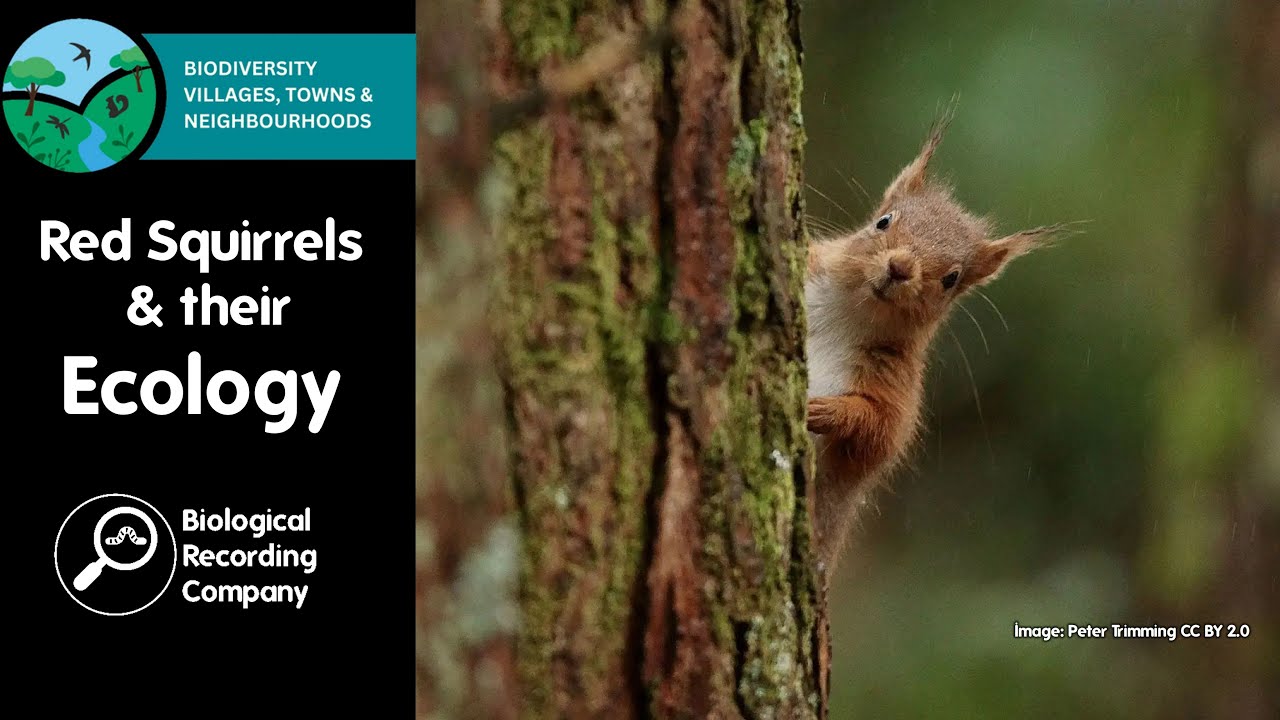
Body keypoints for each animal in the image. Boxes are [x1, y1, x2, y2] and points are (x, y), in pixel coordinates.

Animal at [805, 113, 1061, 569]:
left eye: (951, 279)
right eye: (883, 221)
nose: (901, 267)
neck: (846, 314)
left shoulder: (897, 377)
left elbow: (881, 429)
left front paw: (825, 411)